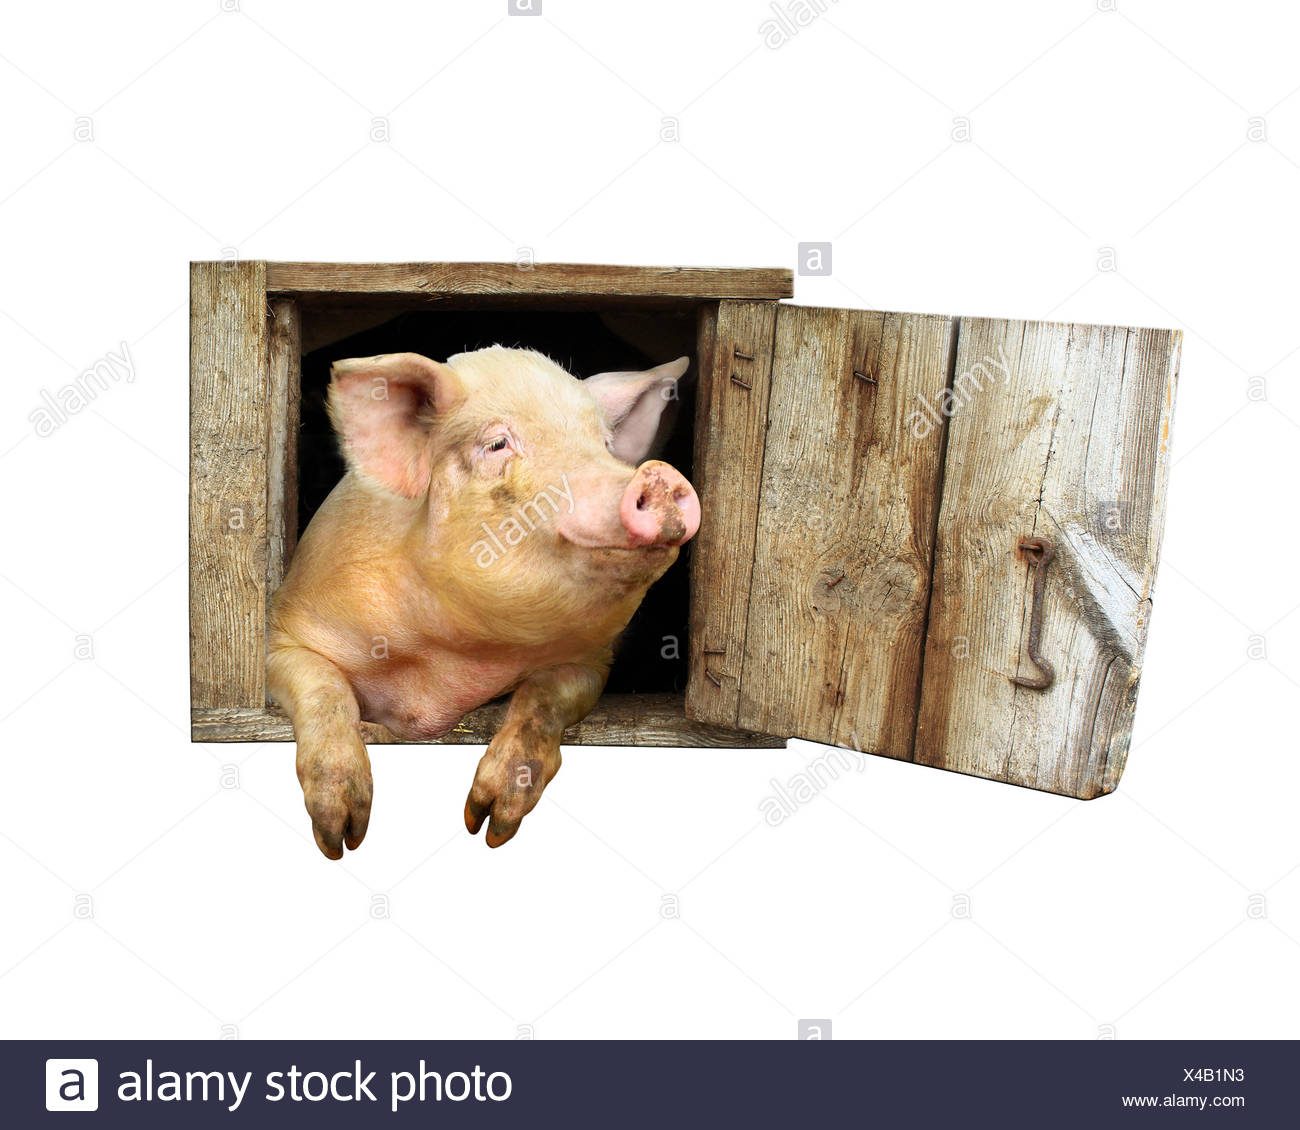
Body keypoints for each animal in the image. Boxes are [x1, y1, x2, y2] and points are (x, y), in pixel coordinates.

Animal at [267, 346, 700, 857]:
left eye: (605, 444)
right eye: (497, 445)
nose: (658, 475)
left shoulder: (591, 661)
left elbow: (543, 698)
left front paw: (488, 828)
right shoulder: (284, 631)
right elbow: (324, 688)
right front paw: (339, 841)